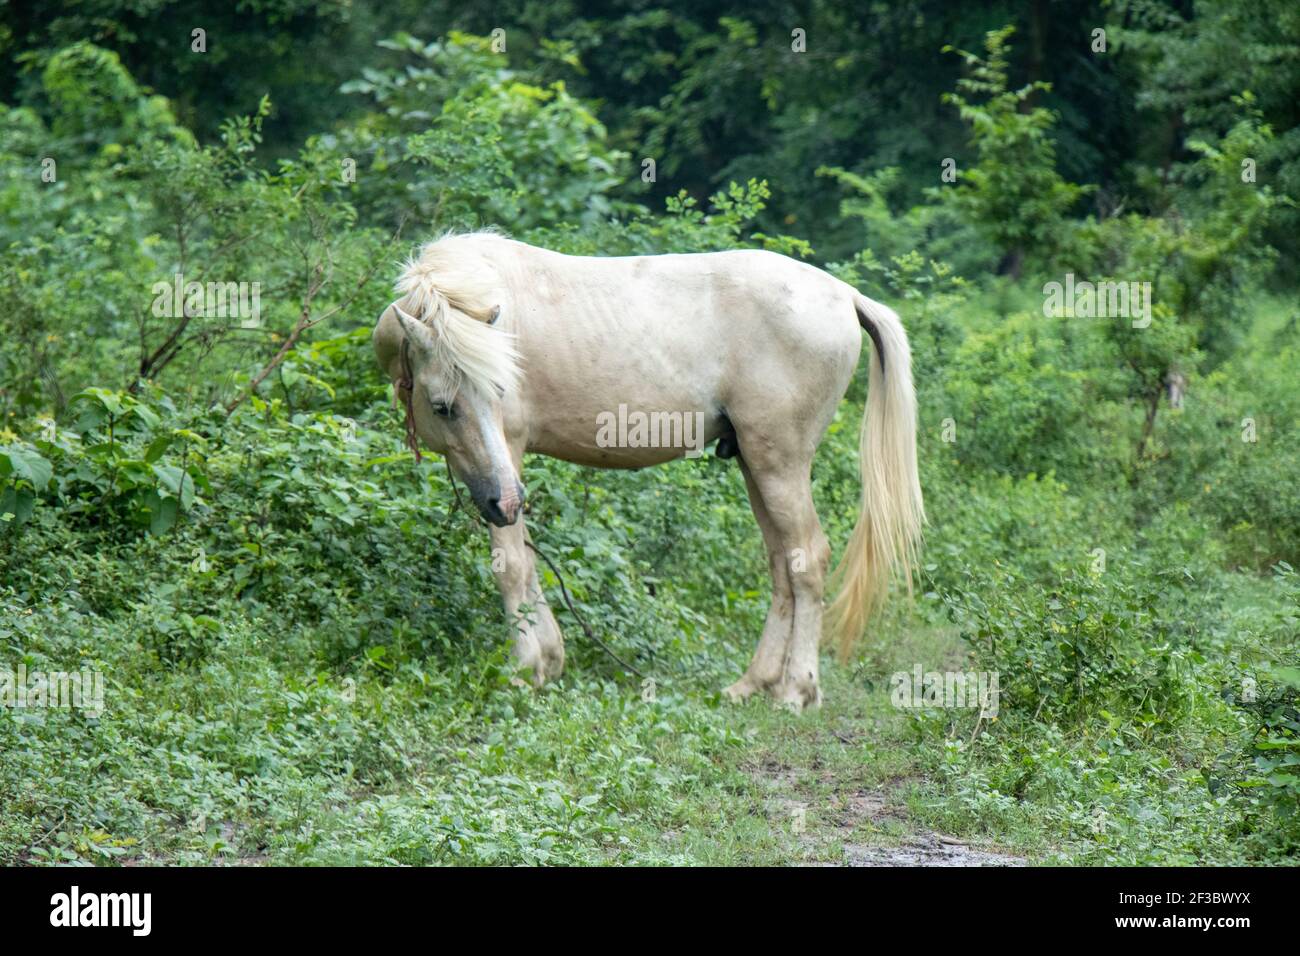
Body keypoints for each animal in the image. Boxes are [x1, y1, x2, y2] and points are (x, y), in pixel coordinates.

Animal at [372, 232, 923, 709]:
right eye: (443, 407)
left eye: (499, 391)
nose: (503, 501)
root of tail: (844, 295)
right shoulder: (505, 477)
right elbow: (526, 558)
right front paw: (549, 659)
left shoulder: (508, 456)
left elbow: (510, 566)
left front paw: (526, 669)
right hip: (756, 466)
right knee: (782, 564)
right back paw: (751, 684)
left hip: (780, 465)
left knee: (808, 559)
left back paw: (795, 691)